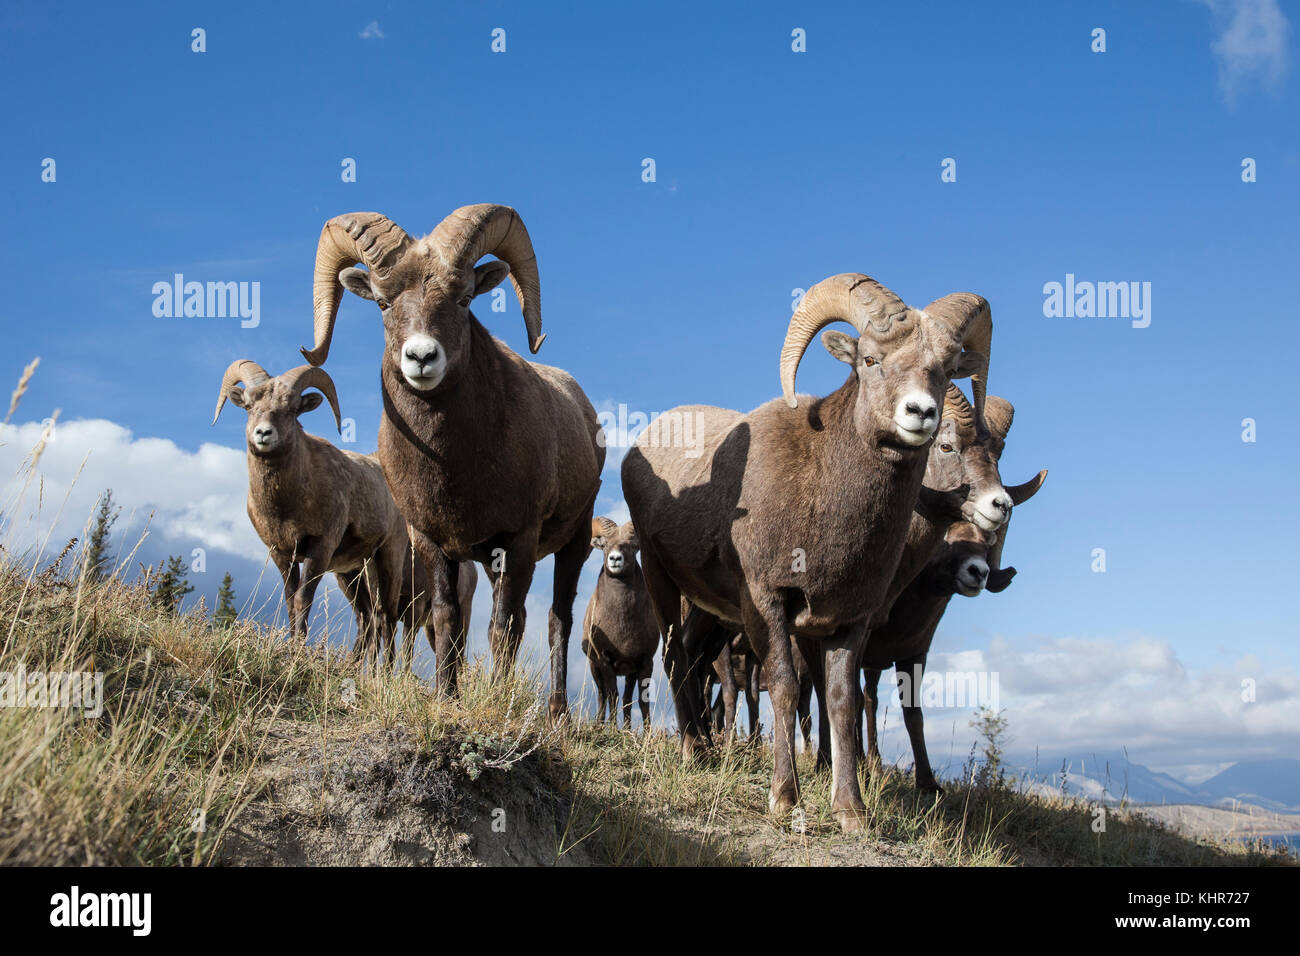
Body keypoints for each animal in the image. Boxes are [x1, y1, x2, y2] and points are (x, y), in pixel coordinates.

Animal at [301, 205, 605, 717]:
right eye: (382, 303)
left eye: (464, 299)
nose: (422, 357)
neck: (452, 466)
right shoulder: (432, 540)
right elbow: (447, 620)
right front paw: (447, 697)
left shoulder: (519, 539)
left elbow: (503, 627)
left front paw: (500, 702)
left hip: (574, 540)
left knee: (555, 619)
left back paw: (557, 712)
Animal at [581, 517, 659, 729]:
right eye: (606, 545)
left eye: (632, 546)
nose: (615, 559)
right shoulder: (604, 660)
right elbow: (612, 696)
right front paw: (613, 730)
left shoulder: (644, 661)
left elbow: (640, 701)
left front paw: (646, 733)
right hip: (595, 668)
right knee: (602, 696)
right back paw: (600, 725)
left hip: (629, 673)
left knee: (626, 699)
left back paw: (627, 729)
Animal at [622, 272, 994, 830]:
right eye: (870, 359)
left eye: (946, 368)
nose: (921, 414)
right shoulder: (768, 603)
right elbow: (784, 687)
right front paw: (785, 798)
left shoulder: (847, 622)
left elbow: (839, 703)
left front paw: (851, 810)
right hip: (660, 578)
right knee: (673, 657)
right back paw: (691, 748)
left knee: (688, 657)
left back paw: (706, 748)